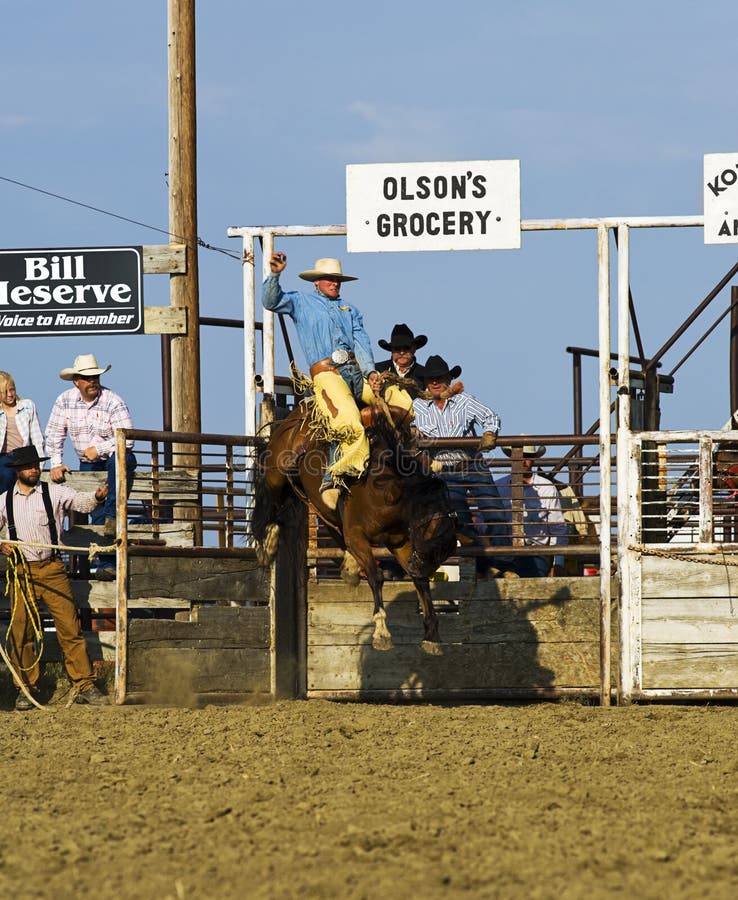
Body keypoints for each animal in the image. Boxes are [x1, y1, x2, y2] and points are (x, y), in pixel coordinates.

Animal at [251, 400, 457, 654]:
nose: (418, 567)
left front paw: (431, 636)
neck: (385, 488)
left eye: (444, 550)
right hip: (276, 475)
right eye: (430, 532)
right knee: (269, 501)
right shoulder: (358, 537)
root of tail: (292, 417)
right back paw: (266, 545)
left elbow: (419, 583)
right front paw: (381, 632)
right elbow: (376, 576)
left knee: (329, 524)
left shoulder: (399, 543)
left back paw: (348, 566)